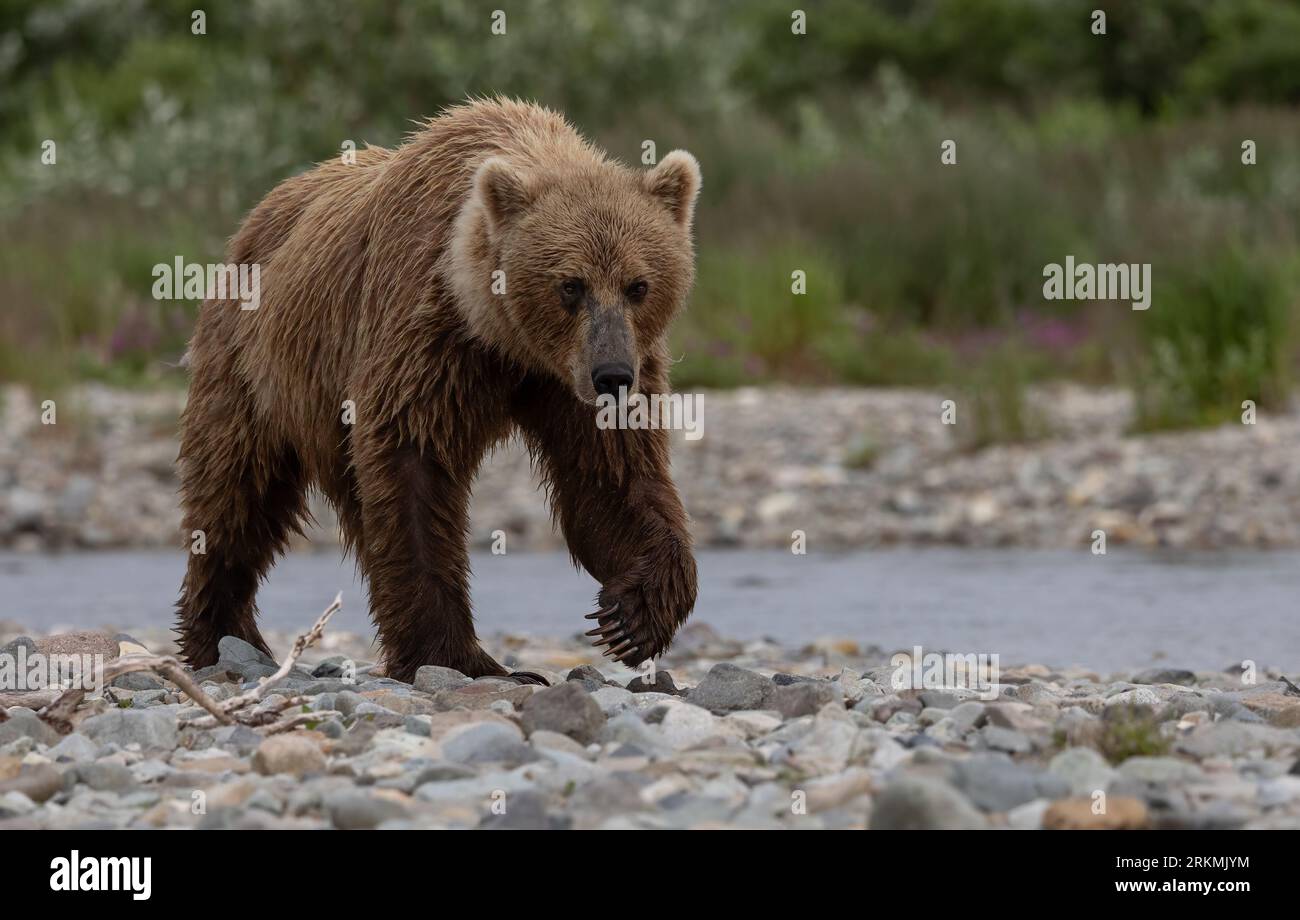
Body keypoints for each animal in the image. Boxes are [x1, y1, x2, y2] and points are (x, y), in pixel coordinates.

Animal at [174, 97, 700, 684]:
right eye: (571, 285)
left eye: (638, 285)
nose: (612, 376)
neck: (507, 342)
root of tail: (260, 211)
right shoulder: (429, 336)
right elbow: (413, 469)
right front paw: (463, 658)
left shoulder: (574, 380)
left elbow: (612, 474)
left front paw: (634, 615)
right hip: (253, 363)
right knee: (237, 488)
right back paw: (223, 634)